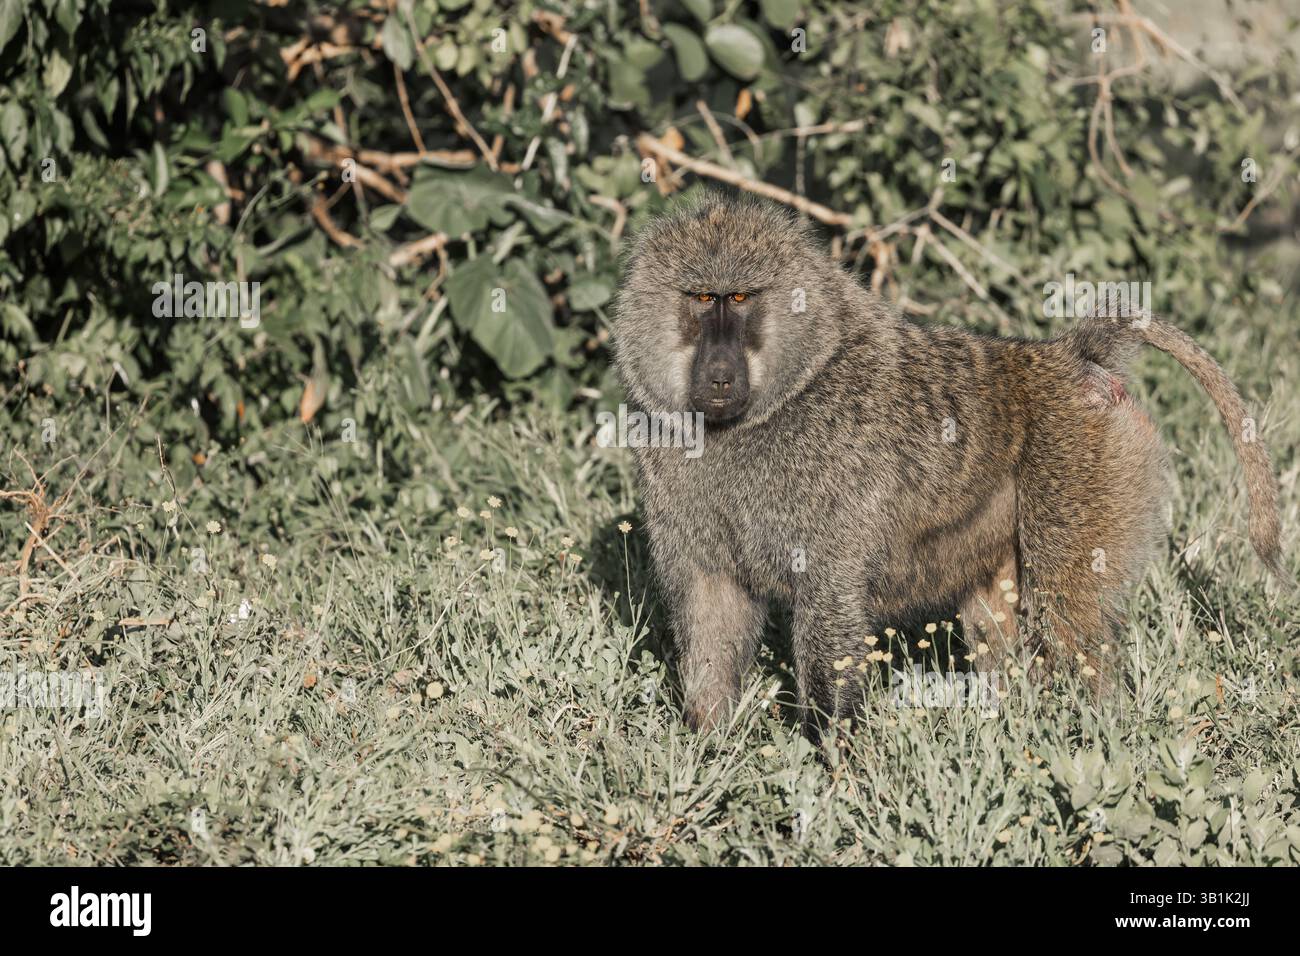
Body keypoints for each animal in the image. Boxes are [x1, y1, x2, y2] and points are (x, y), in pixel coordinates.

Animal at [611, 193, 1287, 739]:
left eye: (741, 298)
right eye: (702, 299)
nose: (720, 376)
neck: (782, 397)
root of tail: (1070, 361)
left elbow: (829, 615)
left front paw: (835, 764)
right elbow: (711, 605)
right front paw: (707, 748)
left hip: (1083, 464)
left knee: (1070, 622)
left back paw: (1100, 736)